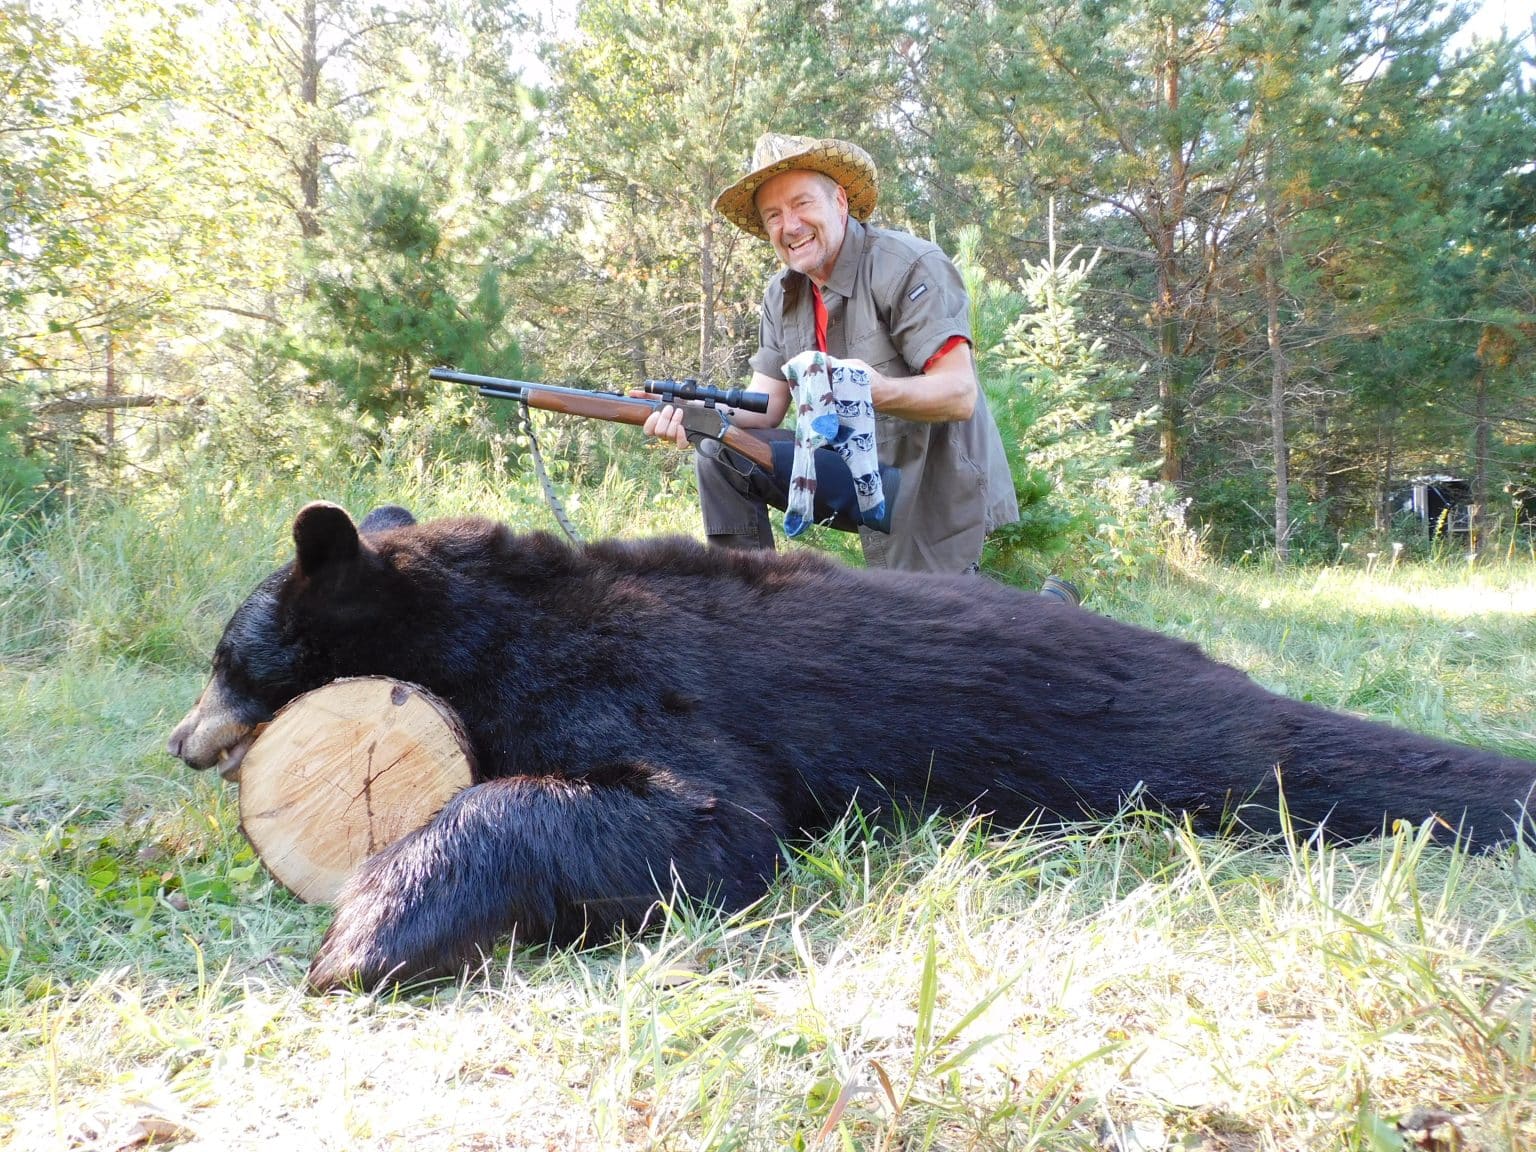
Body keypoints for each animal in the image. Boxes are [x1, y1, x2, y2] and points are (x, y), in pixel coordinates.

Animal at [167, 502, 1536, 992]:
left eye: (229, 656)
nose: (183, 738)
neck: (487, 615)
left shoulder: (627, 675)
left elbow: (702, 814)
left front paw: (367, 930)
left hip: (1157, 743)